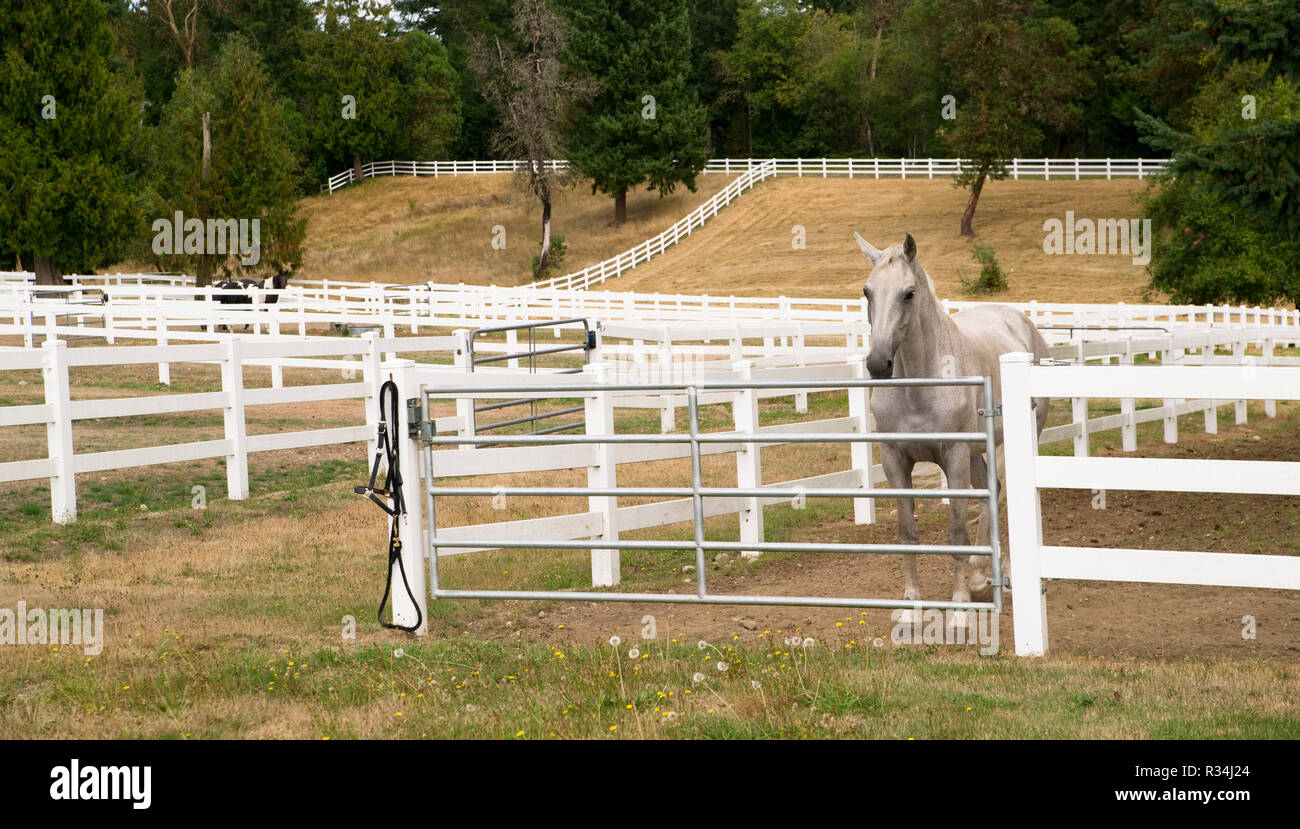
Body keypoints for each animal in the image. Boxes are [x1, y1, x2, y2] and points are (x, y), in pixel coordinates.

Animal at [854, 231, 1049, 631]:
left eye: (909, 293)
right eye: (867, 291)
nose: (878, 363)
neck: (921, 384)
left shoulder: (955, 455)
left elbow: (956, 531)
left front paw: (960, 608)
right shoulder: (895, 459)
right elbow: (907, 531)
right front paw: (912, 605)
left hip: (1004, 446)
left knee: (1001, 495)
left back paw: (992, 576)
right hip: (976, 457)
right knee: (990, 493)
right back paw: (980, 574)